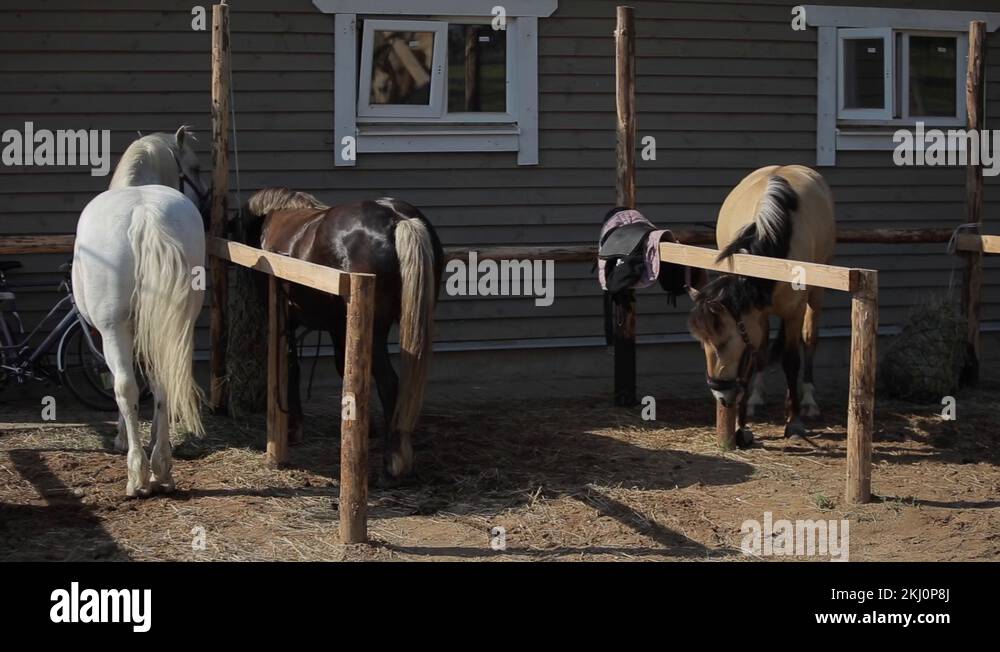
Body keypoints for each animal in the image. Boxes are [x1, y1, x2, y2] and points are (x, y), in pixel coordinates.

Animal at [73, 126, 210, 496]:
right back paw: (162, 468)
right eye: (195, 167)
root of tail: (144, 214)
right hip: (177, 323)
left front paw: (122, 437)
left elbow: (120, 385)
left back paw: (138, 475)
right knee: (163, 381)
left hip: (113, 329)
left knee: (125, 385)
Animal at [237, 187, 444, 480]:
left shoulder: (285, 321)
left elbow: (292, 366)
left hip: (376, 330)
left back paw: (394, 462)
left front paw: (294, 427)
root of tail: (397, 219)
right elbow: (345, 368)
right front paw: (366, 427)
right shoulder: (337, 326)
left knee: (389, 383)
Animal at [687, 165, 835, 445]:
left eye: (725, 341)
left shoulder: (794, 311)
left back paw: (808, 400)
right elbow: (757, 353)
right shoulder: (755, 313)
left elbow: (791, 360)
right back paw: (757, 397)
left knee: (809, 340)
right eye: (703, 344)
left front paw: (794, 422)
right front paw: (742, 424)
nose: (720, 396)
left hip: (817, 293)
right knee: (764, 348)